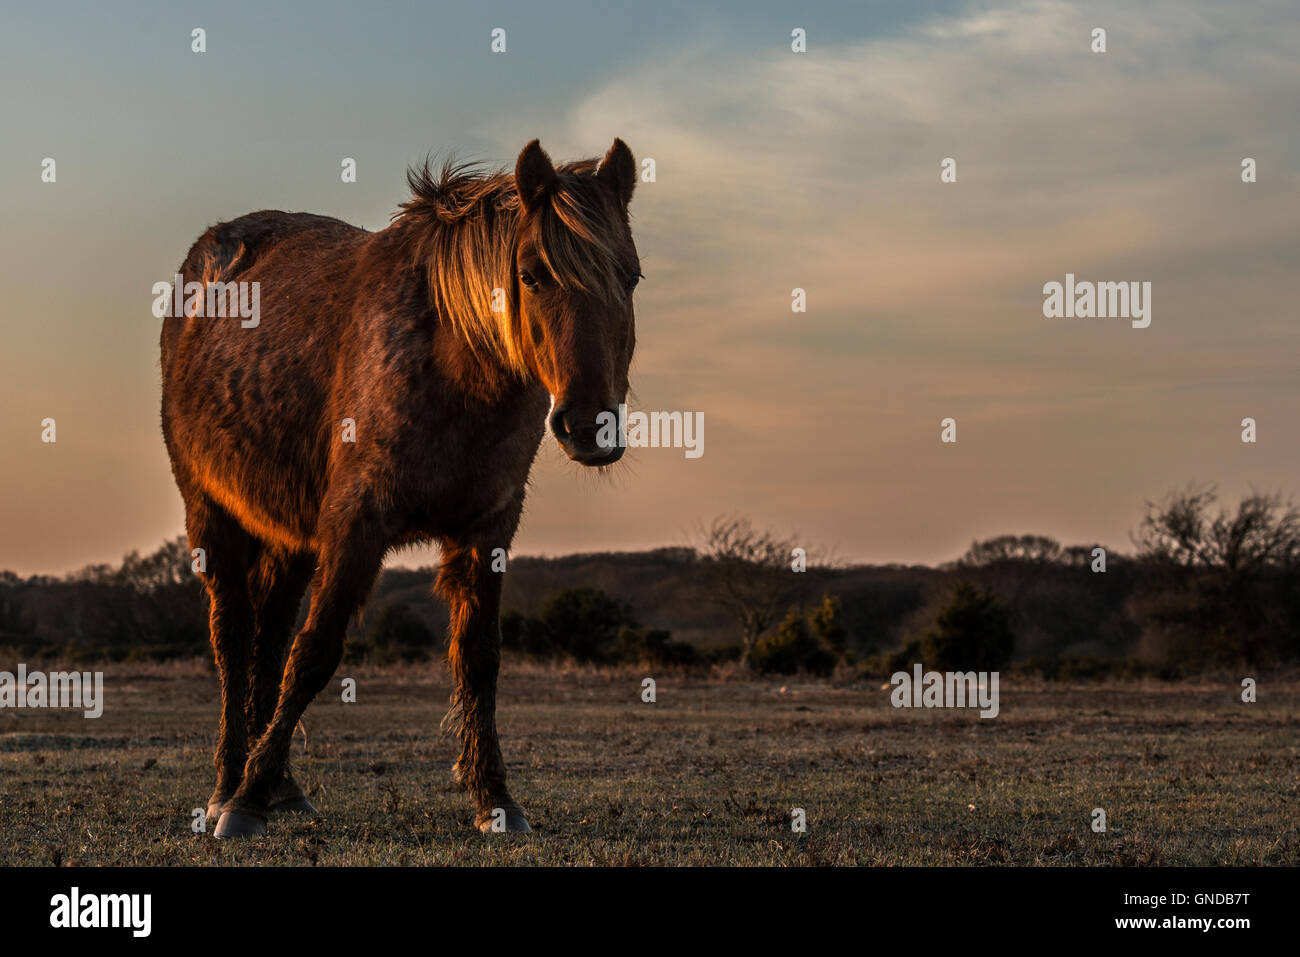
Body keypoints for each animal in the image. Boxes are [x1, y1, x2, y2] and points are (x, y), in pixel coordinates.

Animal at [160, 138, 641, 837]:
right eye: (531, 275)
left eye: (630, 278)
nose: (589, 427)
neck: (453, 361)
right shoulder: (357, 522)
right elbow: (316, 651)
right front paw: (246, 801)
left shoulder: (488, 529)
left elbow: (478, 659)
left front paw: (496, 799)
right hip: (211, 512)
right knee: (234, 638)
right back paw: (230, 787)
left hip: (291, 534)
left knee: (268, 639)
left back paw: (282, 788)